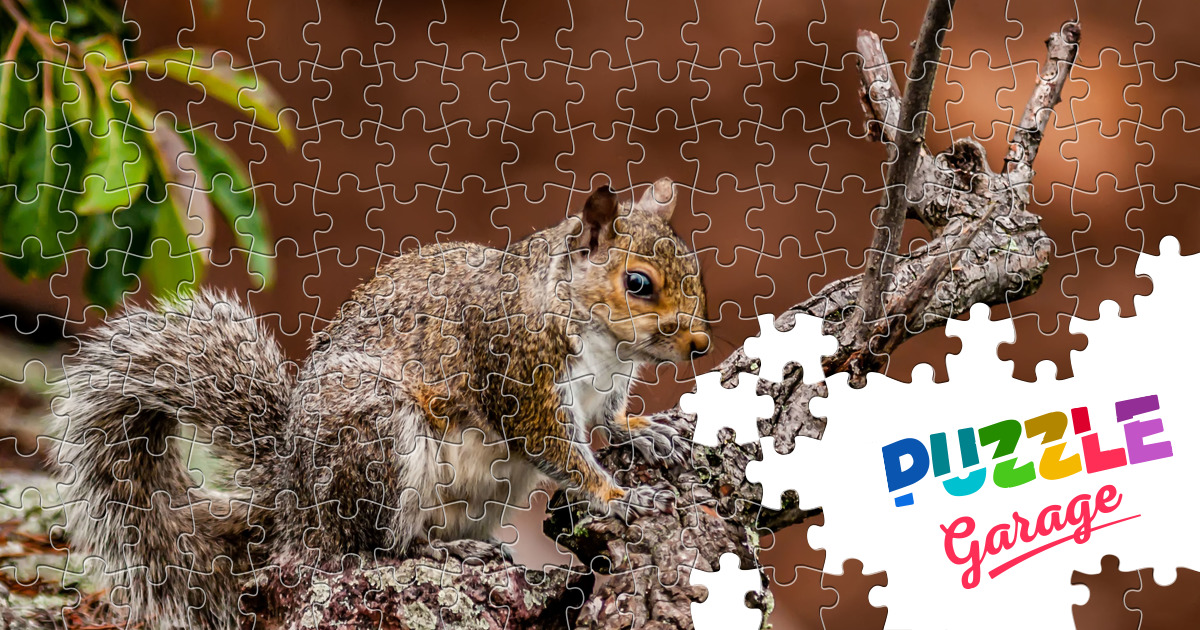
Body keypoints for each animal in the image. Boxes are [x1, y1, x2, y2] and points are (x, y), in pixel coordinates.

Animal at [52, 177, 711, 629]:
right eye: (637, 283)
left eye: (696, 269)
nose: (700, 345)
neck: (599, 338)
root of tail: (296, 505)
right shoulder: (518, 373)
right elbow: (556, 447)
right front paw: (620, 495)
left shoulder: (606, 382)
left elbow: (610, 419)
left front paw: (644, 430)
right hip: (381, 438)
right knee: (377, 547)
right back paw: (440, 547)